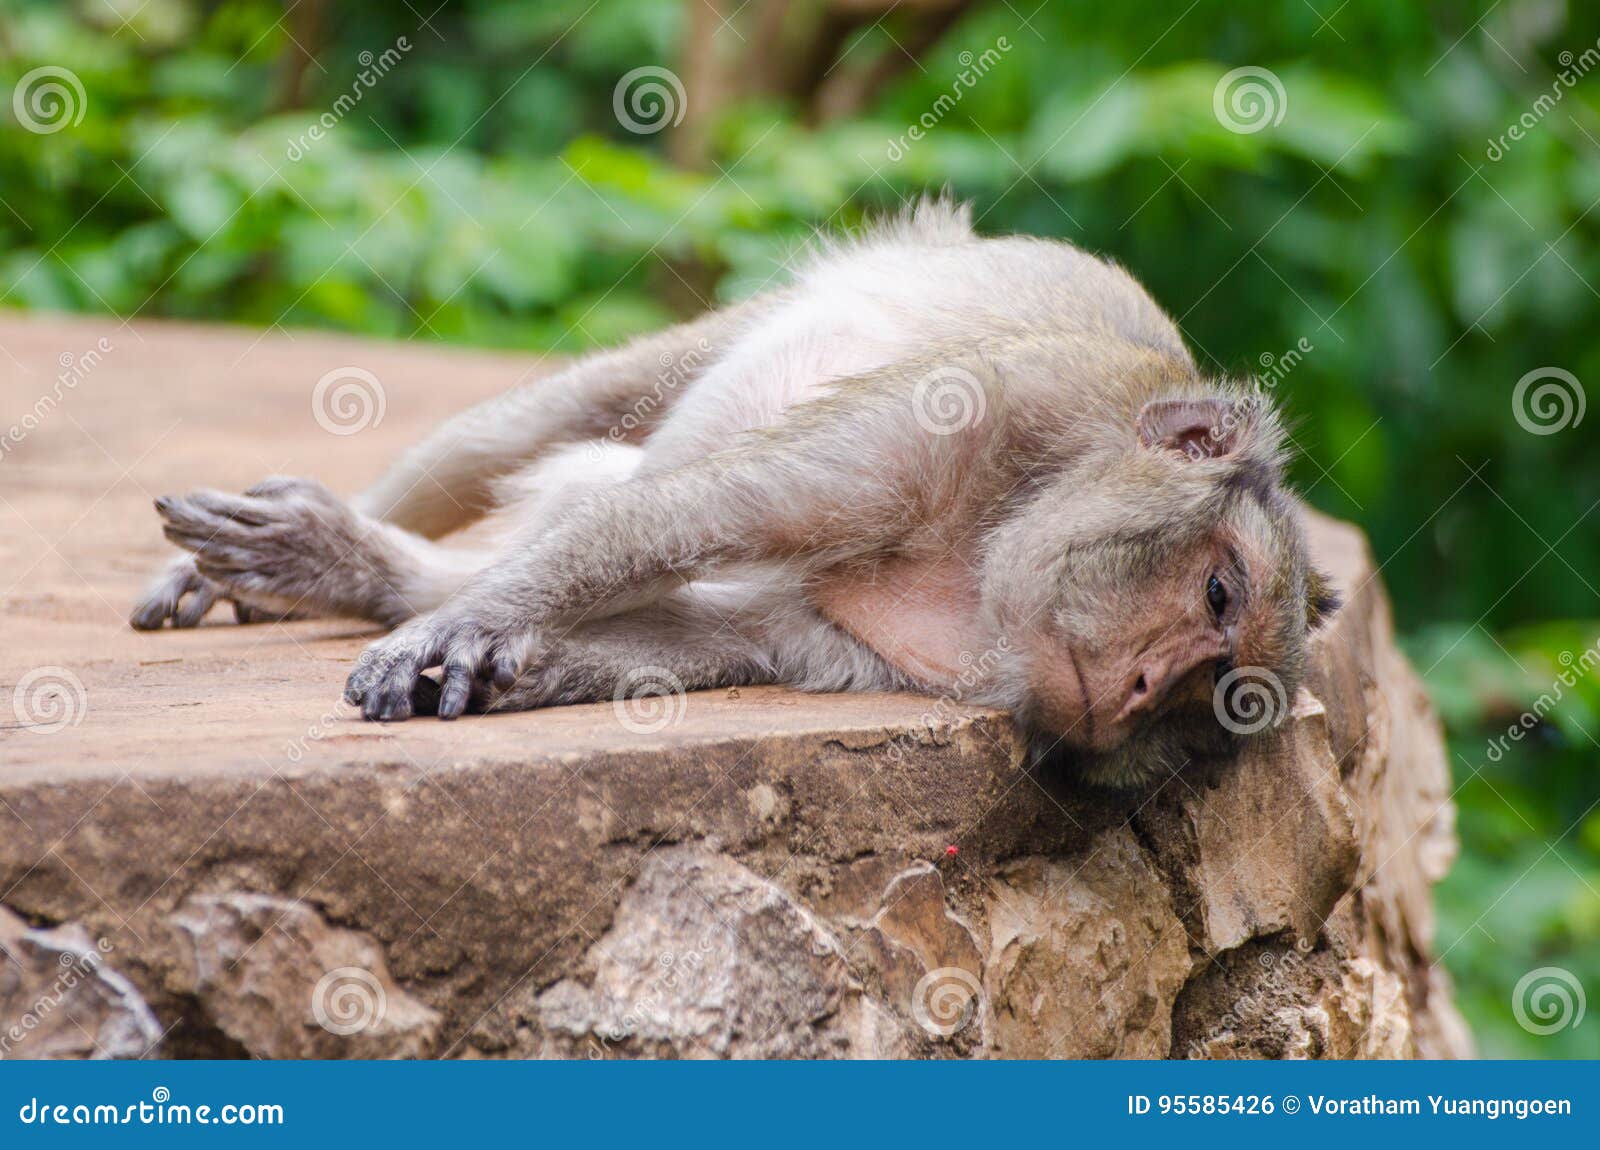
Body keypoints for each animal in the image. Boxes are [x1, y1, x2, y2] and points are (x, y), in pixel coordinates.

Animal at [133, 198, 1338, 788]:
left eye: (1204, 700)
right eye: (1219, 593)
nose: (1144, 683)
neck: (995, 550)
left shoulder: (888, 661)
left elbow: (703, 633)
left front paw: (496, 663)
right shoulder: (989, 408)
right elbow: (700, 513)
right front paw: (468, 627)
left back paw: (356, 568)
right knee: (556, 428)